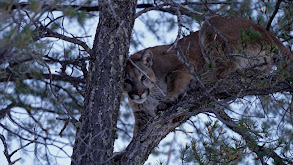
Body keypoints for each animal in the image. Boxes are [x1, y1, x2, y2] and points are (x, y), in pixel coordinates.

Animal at [124, 15, 292, 137]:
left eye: (143, 77)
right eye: (127, 81)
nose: (139, 93)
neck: (151, 93)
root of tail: (268, 33)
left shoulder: (181, 64)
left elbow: (174, 82)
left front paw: (168, 100)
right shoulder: (142, 115)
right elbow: (134, 137)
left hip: (210, 26)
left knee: (226, 66)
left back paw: (198, 83)